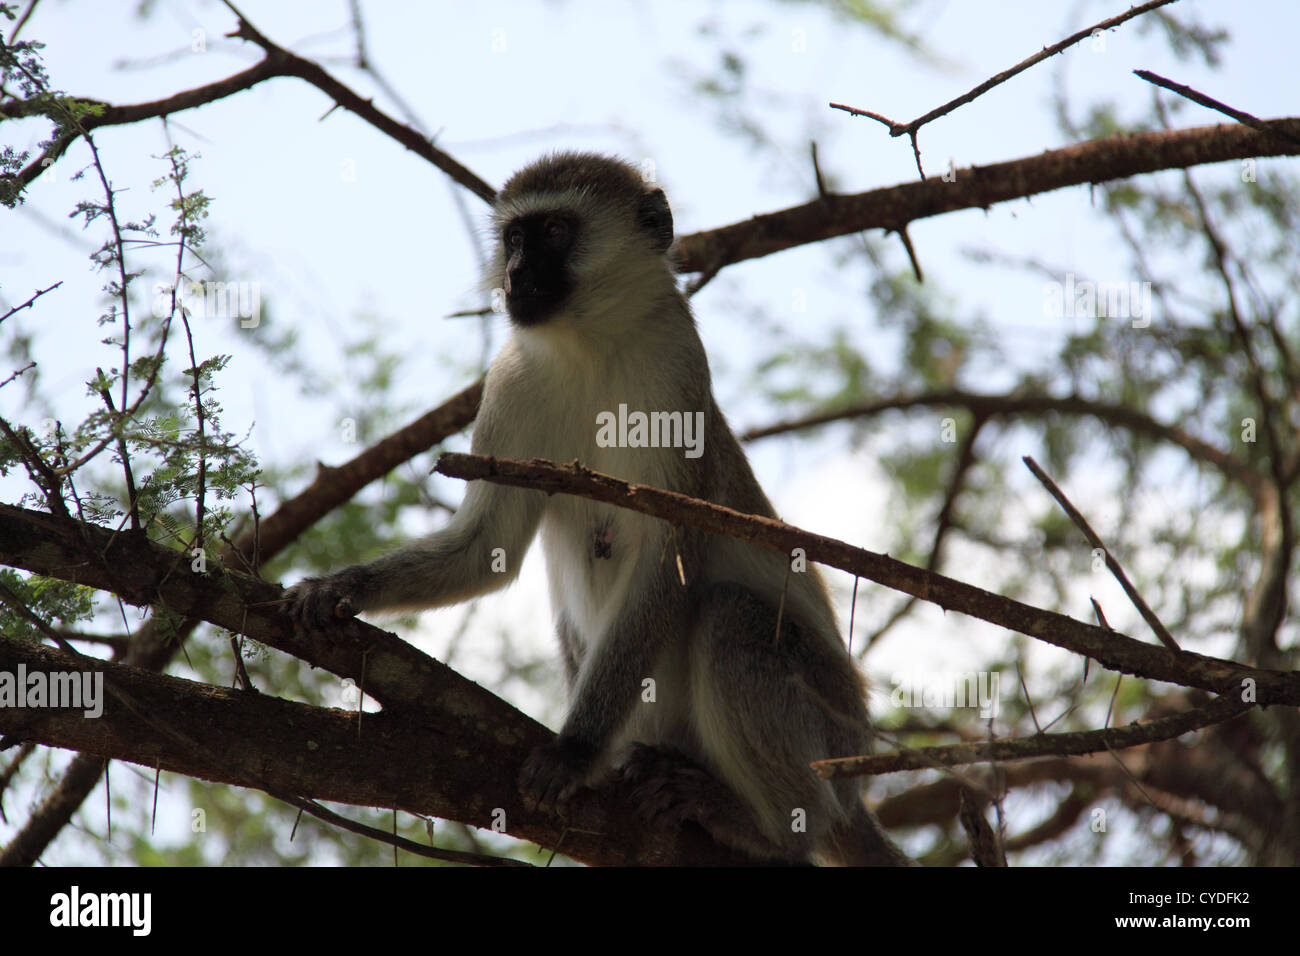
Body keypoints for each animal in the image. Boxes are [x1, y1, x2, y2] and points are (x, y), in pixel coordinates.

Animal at [286, 152, 907, 866]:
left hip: (832, 731)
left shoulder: (675, 363)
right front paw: (342, 587)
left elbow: (671, 558)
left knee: (733, 618)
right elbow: (485, 546)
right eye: (515, 237)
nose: (515, 275)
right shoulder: (508, 381)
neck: (588, 346)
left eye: (555, 231)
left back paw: (770, 829)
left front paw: (575, 750)